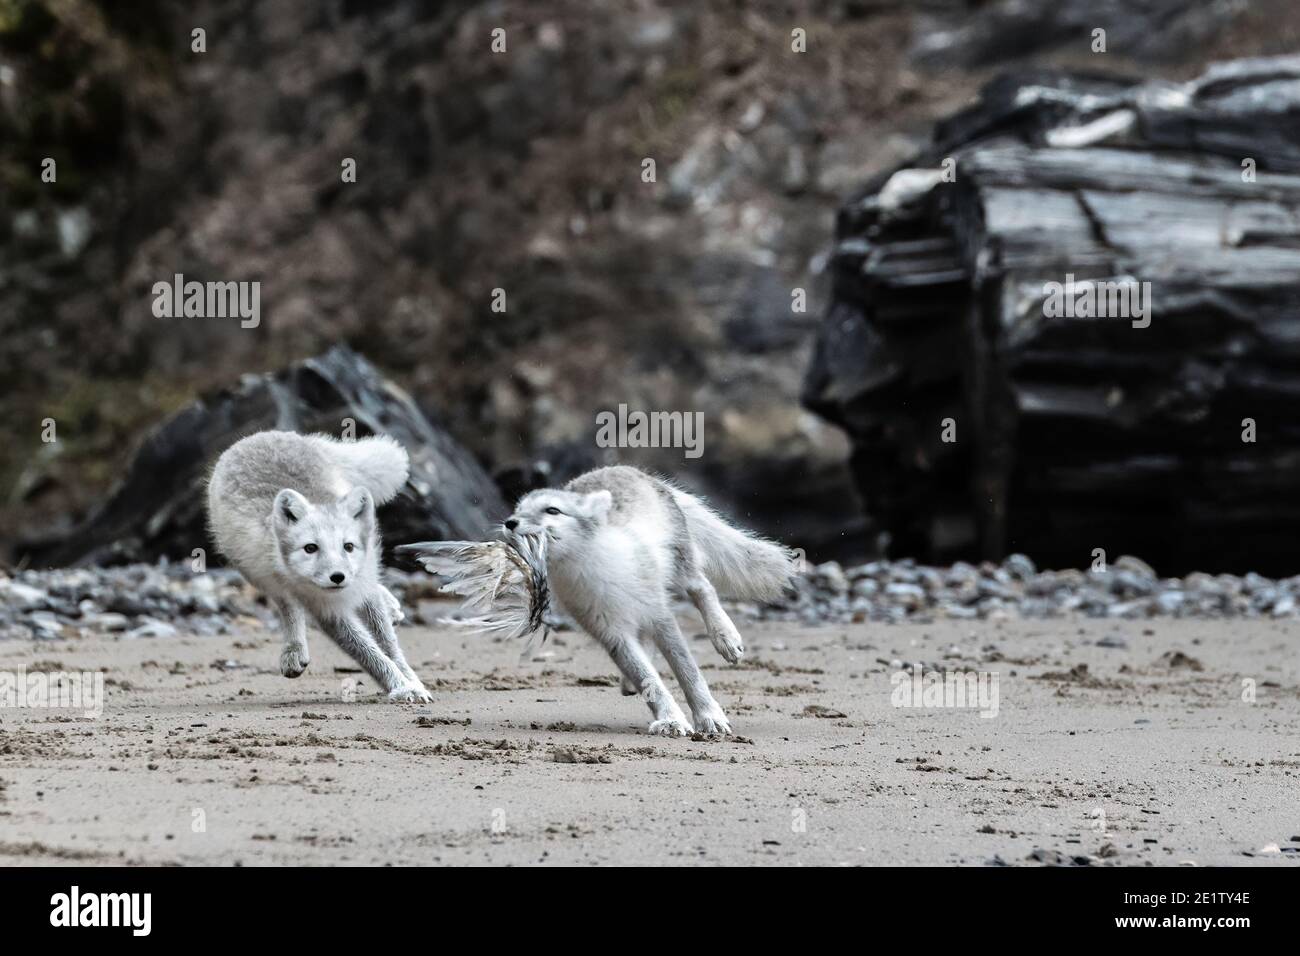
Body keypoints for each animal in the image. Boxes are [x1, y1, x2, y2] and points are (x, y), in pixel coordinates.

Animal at [207, 430, 432, 702]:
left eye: (348, 546)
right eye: (310, 548)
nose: (338, 577)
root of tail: (258, 436)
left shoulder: (363, 587)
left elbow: (388, 645)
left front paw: (411, 681)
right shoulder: (328, 612)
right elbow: (370, 654)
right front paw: (402, 687)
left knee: (376, 591)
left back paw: (392, 607)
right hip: (259, 576)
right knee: (287, 605)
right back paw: (294, 649)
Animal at [501, 466, 796, 737]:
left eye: (552, 510)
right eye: (518, 510)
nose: (510, 522)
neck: (587, 566)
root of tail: (629, 469)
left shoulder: (660, 616)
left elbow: (689, 672)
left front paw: (709, 717)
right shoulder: (612, 634)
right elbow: (646, 677)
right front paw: (671, 719)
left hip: (680, 567)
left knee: (703, 587)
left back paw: (725, 637)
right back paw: (631, 682)